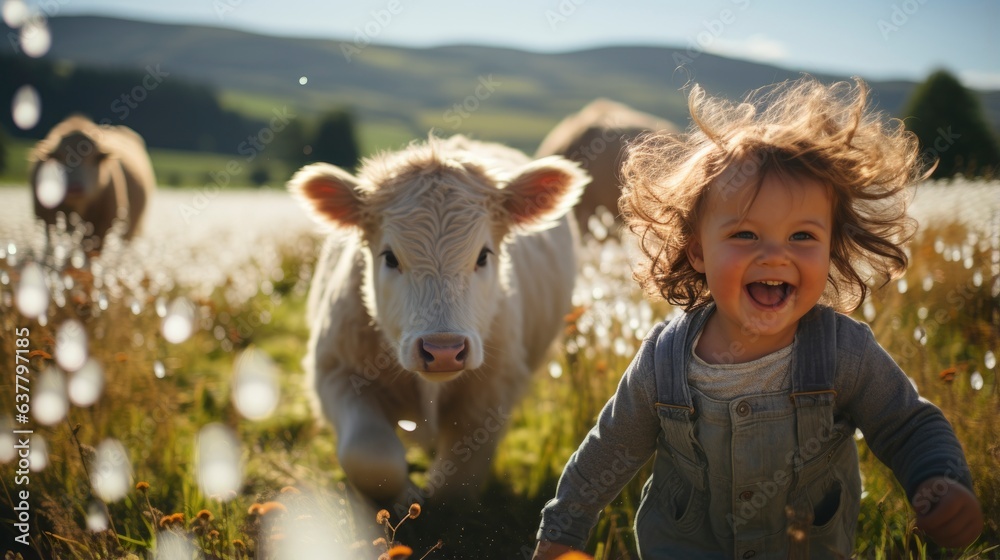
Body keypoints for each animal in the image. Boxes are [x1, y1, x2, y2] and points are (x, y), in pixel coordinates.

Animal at [288, 134, 588, 505]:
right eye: (389, 257)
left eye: (483, 255)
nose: (443, 350)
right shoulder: (335, 371)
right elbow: (371, 456)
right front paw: (404, 498)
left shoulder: (492, 394)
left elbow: (456, 483)